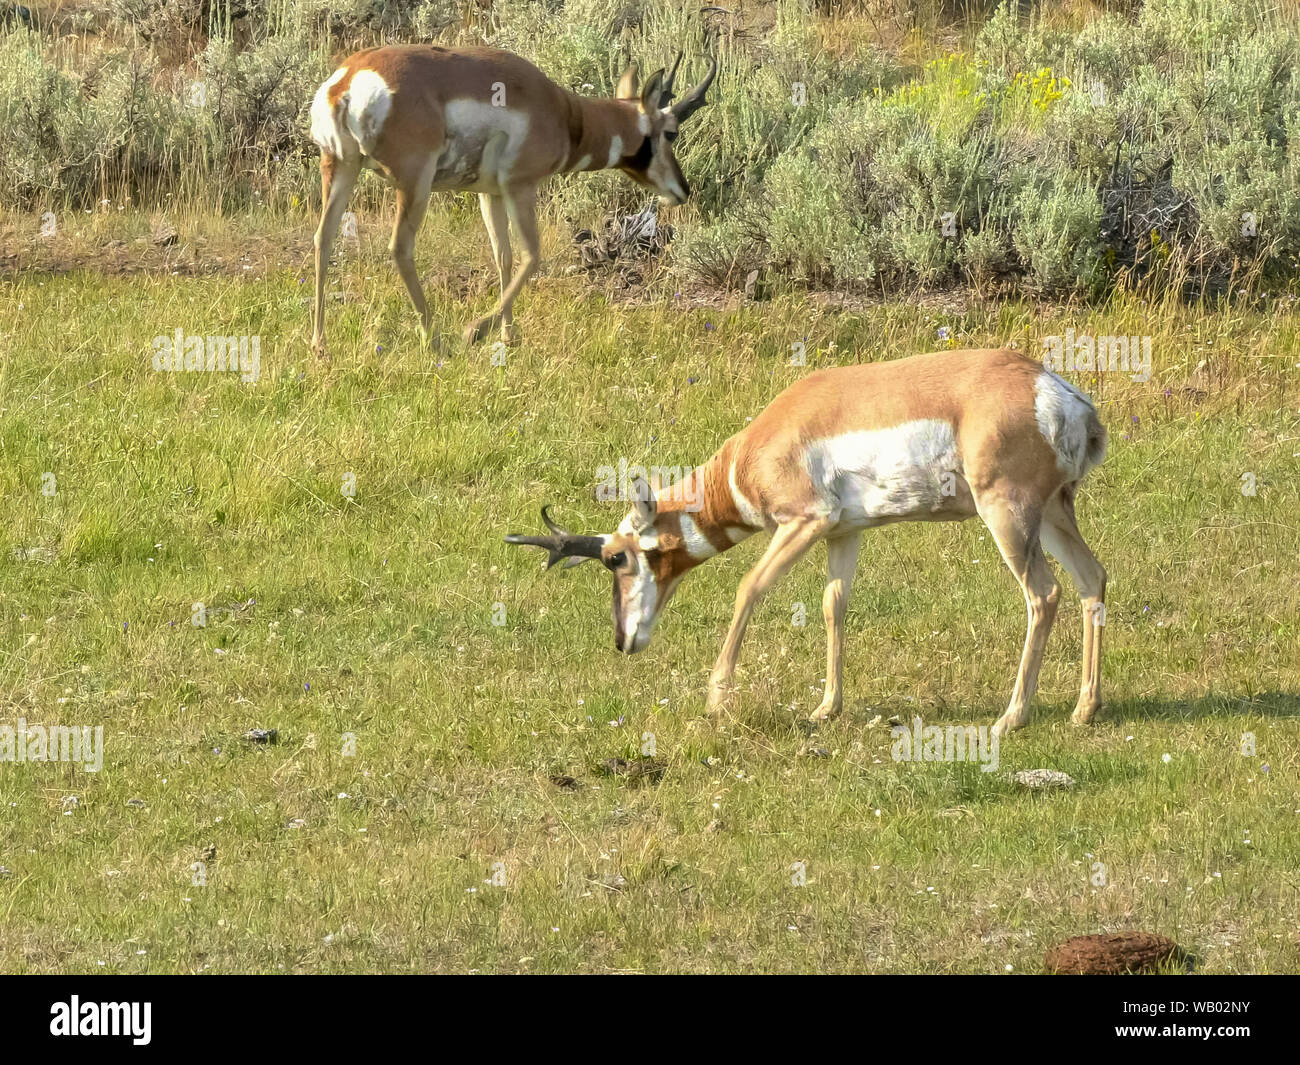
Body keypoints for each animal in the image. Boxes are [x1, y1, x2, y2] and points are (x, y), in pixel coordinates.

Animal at [308, 46, 716, 354]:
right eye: (672, 132)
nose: (682, 190)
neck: (565, 114)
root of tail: (349, 79)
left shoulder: (490, 194)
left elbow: (502, 257)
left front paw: (507, 336)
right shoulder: (520, 187)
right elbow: (532, 255)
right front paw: (475, 330)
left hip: (340, 167)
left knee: (323, 238)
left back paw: (319, 344)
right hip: (415, 184)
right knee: (400, 248)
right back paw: (435, 339)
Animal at [505, 349, 1109, 736]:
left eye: (616, 557)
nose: (623, 641)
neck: (754, 450)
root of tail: (1061, 395)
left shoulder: (804, 522)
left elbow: (749, 587)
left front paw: (717, 699)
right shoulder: (844, 533)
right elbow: (833, 605)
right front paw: (826, 709)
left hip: (1007, 514)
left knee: (1044, 594)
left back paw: (1011, 717)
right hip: (1053, 513)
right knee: (1092, 578)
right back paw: (1084, 709)